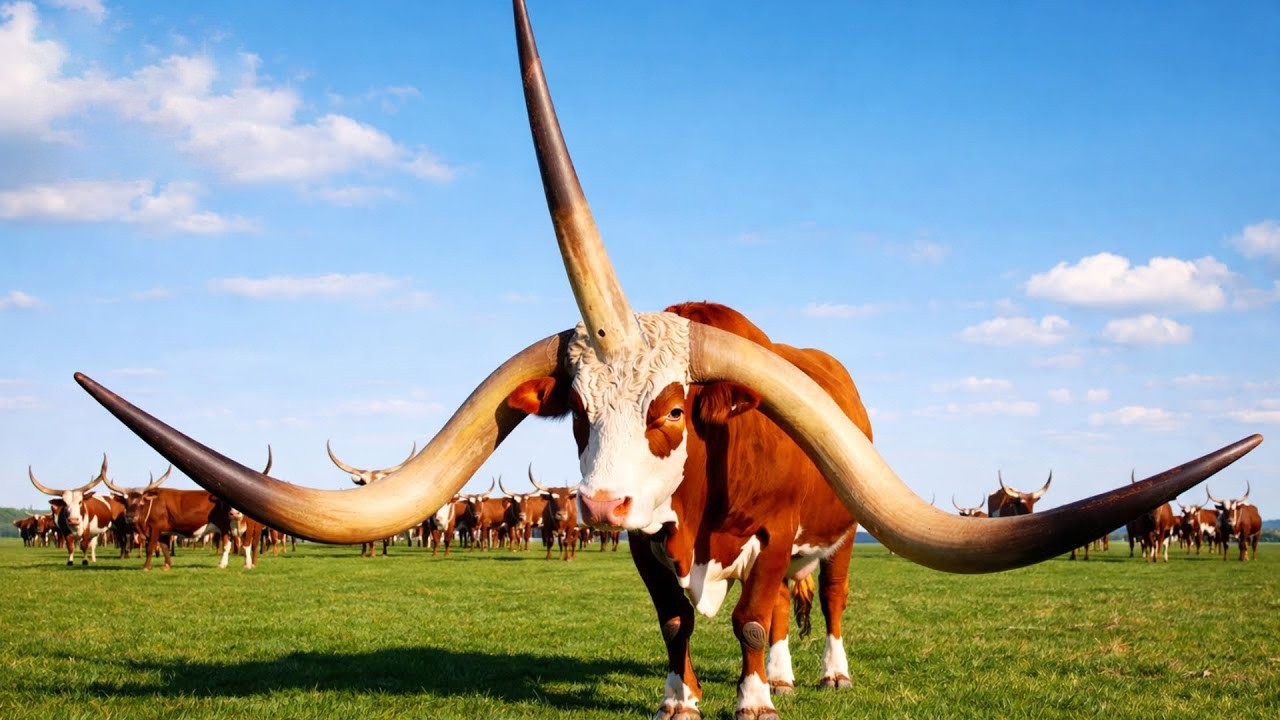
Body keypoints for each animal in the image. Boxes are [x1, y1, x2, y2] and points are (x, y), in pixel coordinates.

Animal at [73, 3, 1264, 717]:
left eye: (678, 411)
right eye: (571, 412)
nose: (594, 505)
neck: (696, 506)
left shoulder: (774, 528)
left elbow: (752, 611)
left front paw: (751, 695)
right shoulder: (652, 543)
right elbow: (678, 618)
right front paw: (684, 695)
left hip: (835, 537)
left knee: (822, 599)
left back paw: (817, 672)